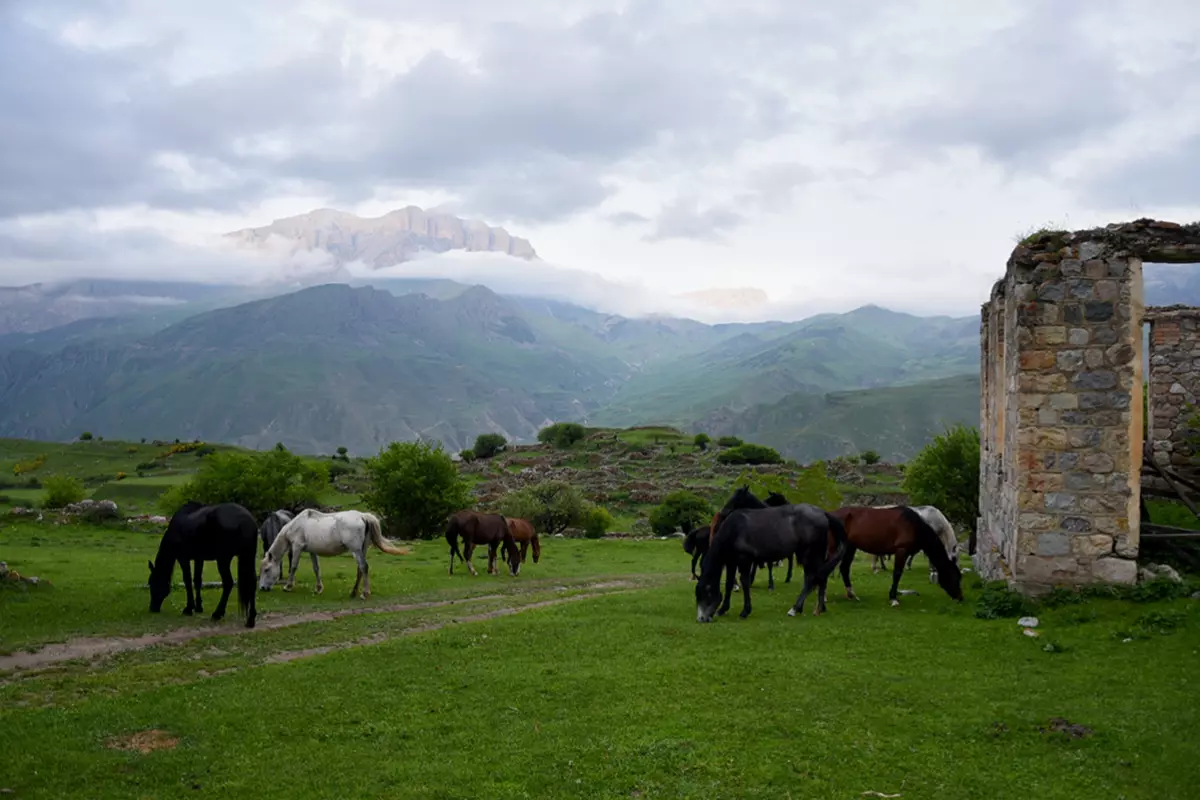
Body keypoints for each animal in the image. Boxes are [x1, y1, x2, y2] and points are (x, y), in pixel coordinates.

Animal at [256, 510, 408, 597]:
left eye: (267, 569)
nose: (262, 588)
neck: (296, 525)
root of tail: (363, 516)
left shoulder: (297, 548)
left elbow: (293, 567)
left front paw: (288, 586)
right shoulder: (312, 551)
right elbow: (316, 569)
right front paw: (318, 589)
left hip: (355, 550)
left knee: (364, 567)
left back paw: (365, 593)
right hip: (361, 549)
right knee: (360, 569)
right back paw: (353, 592)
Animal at [696, 496, 854, 623]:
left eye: (706, 593)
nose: (701, 619)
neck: (734, 529)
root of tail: (822, 513)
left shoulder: (744, 560)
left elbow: (745, 582)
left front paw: (745, 611)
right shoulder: (731, 562)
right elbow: (729, 584)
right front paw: (723, 609)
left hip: (810, 554)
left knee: (813, 578)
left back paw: (796, 608)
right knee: (818, 577)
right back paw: (818, 607)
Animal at [830, 506, 960, 606]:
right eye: (954, 576)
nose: (960, 597)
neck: (913, 524)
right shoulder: (901, 550)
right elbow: (897, 573)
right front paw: (893, 598)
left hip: (850, 548)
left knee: (844, 568)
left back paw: (851, 594)